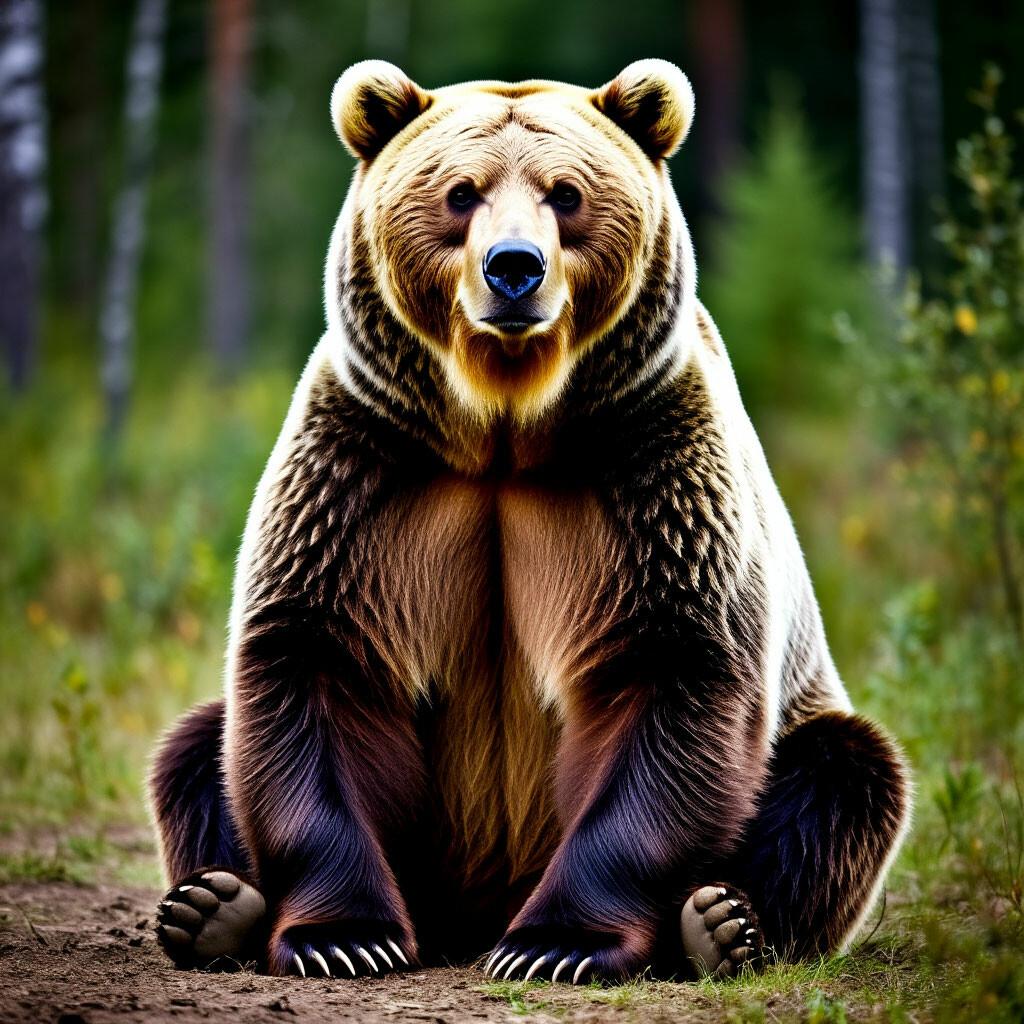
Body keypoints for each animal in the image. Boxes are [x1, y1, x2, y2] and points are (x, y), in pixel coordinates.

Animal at [149, 59, 911, 982]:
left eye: (567, 193)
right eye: (460, 192)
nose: (514, 267)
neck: (503, 427)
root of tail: (472, 910)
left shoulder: (653, 473)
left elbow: (675, 675)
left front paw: (557, 944)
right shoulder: (366, 472)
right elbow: (316, 660)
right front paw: (344, 936)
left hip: (806, 722)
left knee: (843, 774)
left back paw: (722, 924)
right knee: (197, 745)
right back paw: (213, 906)